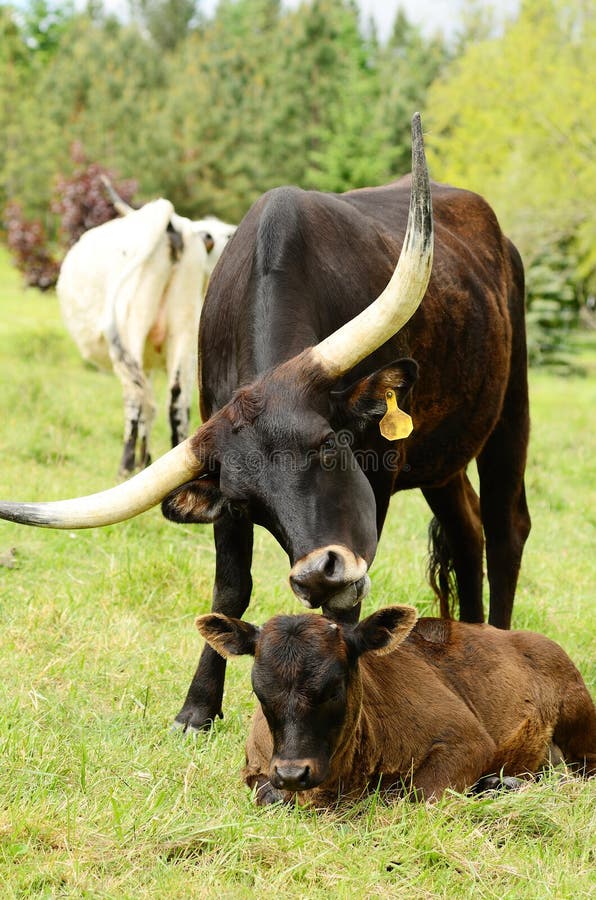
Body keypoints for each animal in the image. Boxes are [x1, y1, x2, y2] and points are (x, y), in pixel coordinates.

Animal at [57, 197, 236, 476]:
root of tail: (170, 220)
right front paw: (148, 459)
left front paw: (141, 459)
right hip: (183, 330)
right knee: (177, 399)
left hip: (130, 329)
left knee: (137, 398)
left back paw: (126, 464)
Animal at [196, 606, 596, 806]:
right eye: (260, 690)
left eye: (335, 686)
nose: (294, 773)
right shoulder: (257, 767)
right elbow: (268, 794)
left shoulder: (467, 741)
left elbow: (412, 795)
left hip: (580, 727)